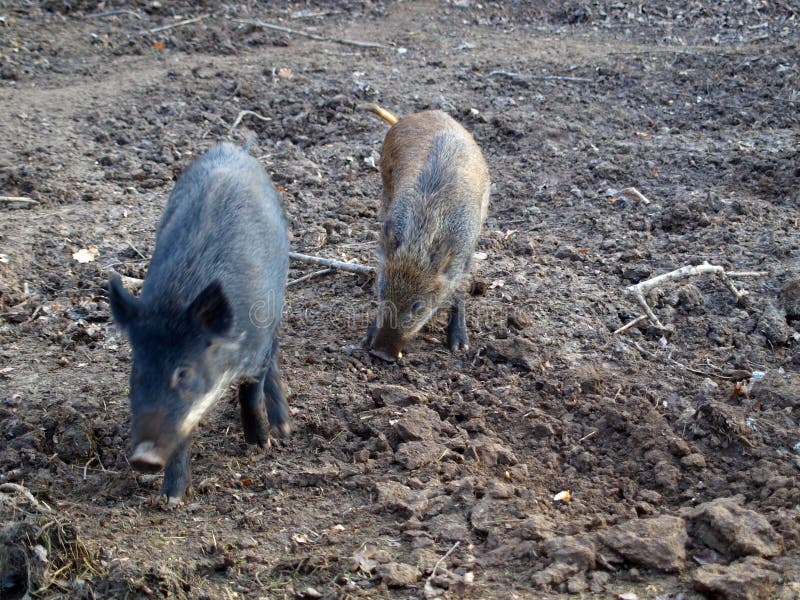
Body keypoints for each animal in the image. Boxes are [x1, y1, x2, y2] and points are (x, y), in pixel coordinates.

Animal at [108, 142, 289, 506]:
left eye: (184, 372)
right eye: (137, 372)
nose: (143, 458)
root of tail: (230, 147)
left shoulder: (257, 342)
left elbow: (250, 393)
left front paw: (260, 446)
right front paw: (171, 500)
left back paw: (283, 430)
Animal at [363, 104, 490, 361]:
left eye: (418, 306)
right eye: (382, 290)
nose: (381, 353)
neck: (420, 241)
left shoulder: (465, 254)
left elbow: (459, 291)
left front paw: (460, 347)